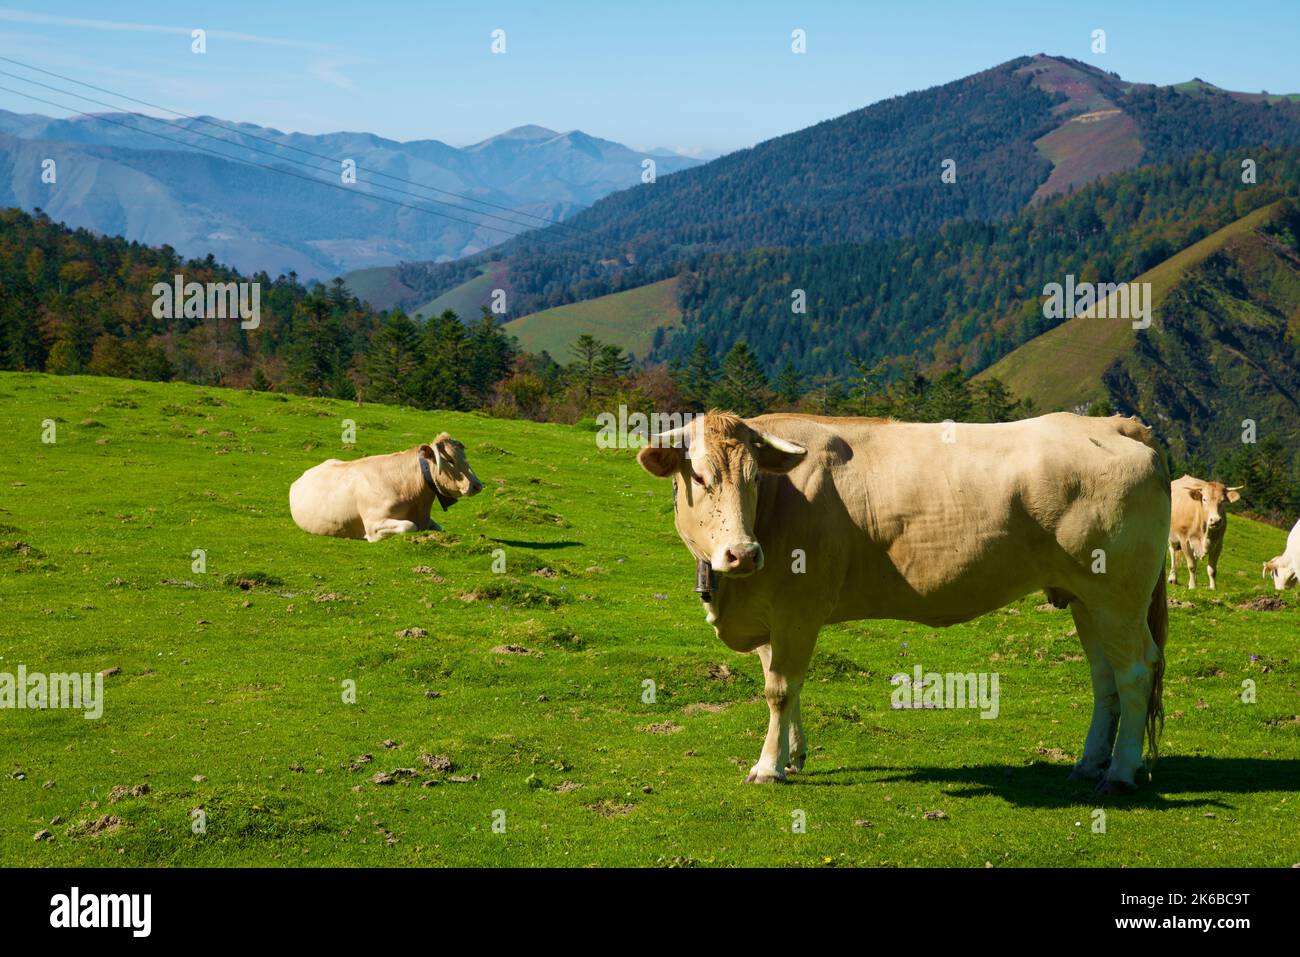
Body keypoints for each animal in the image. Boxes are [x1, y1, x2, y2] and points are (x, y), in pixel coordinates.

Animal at [637, 411, 1170, 794]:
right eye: (699, 477)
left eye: (753, 479)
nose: (743, 553)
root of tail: (1116, 424)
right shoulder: (771, 616)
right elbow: (785, 686)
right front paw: (794, 755)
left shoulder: (798, 610)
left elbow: (781, 690)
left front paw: (768, 767)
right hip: (1087, 599)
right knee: (1105, 679)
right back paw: (1088, 763)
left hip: (1119, 596)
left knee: (1135, 671)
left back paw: (1119, 773)